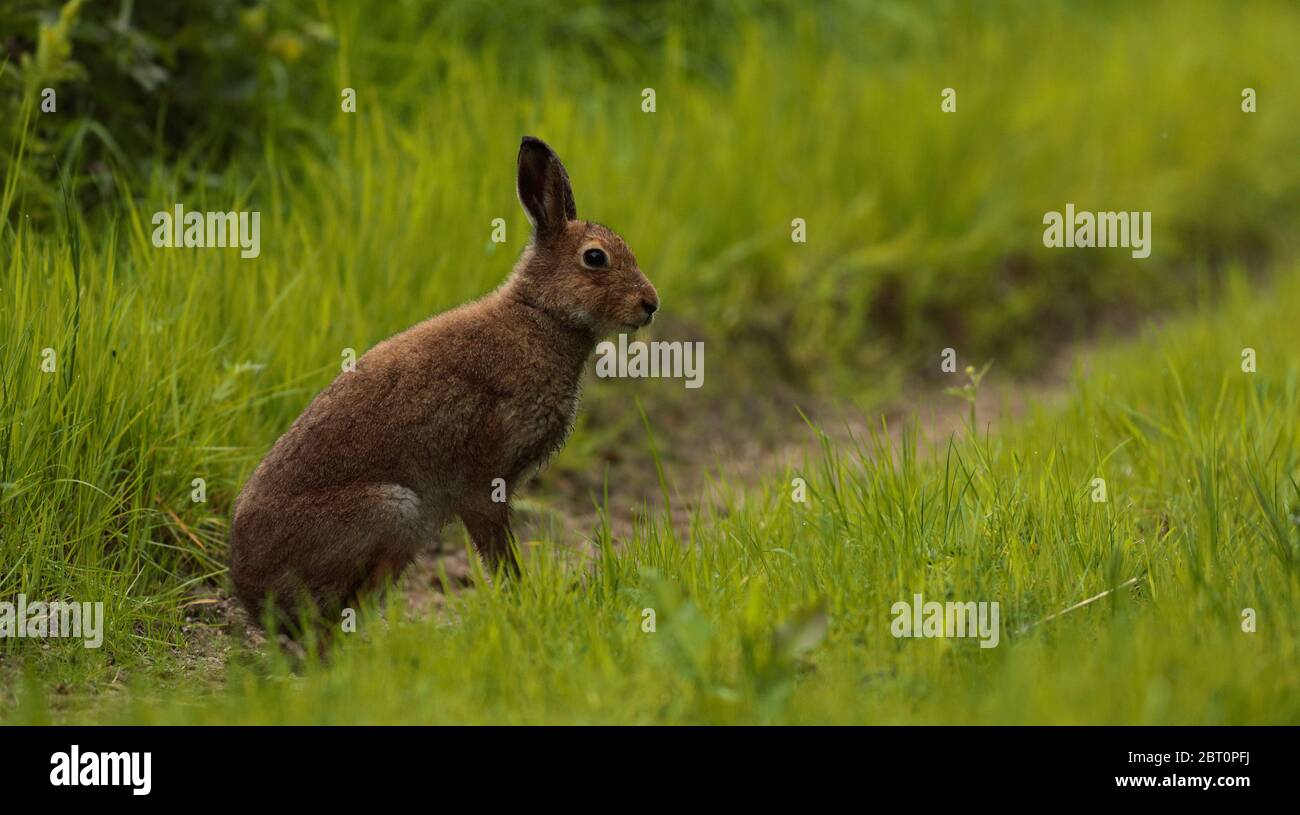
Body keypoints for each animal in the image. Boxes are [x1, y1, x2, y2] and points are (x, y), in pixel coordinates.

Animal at [229, 136, 659, 626]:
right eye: (594, 258)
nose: (651, 304)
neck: (541, 316)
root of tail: (250, 590)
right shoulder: (483, 483)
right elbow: (501, 556)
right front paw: (524, 604)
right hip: (394, 512)